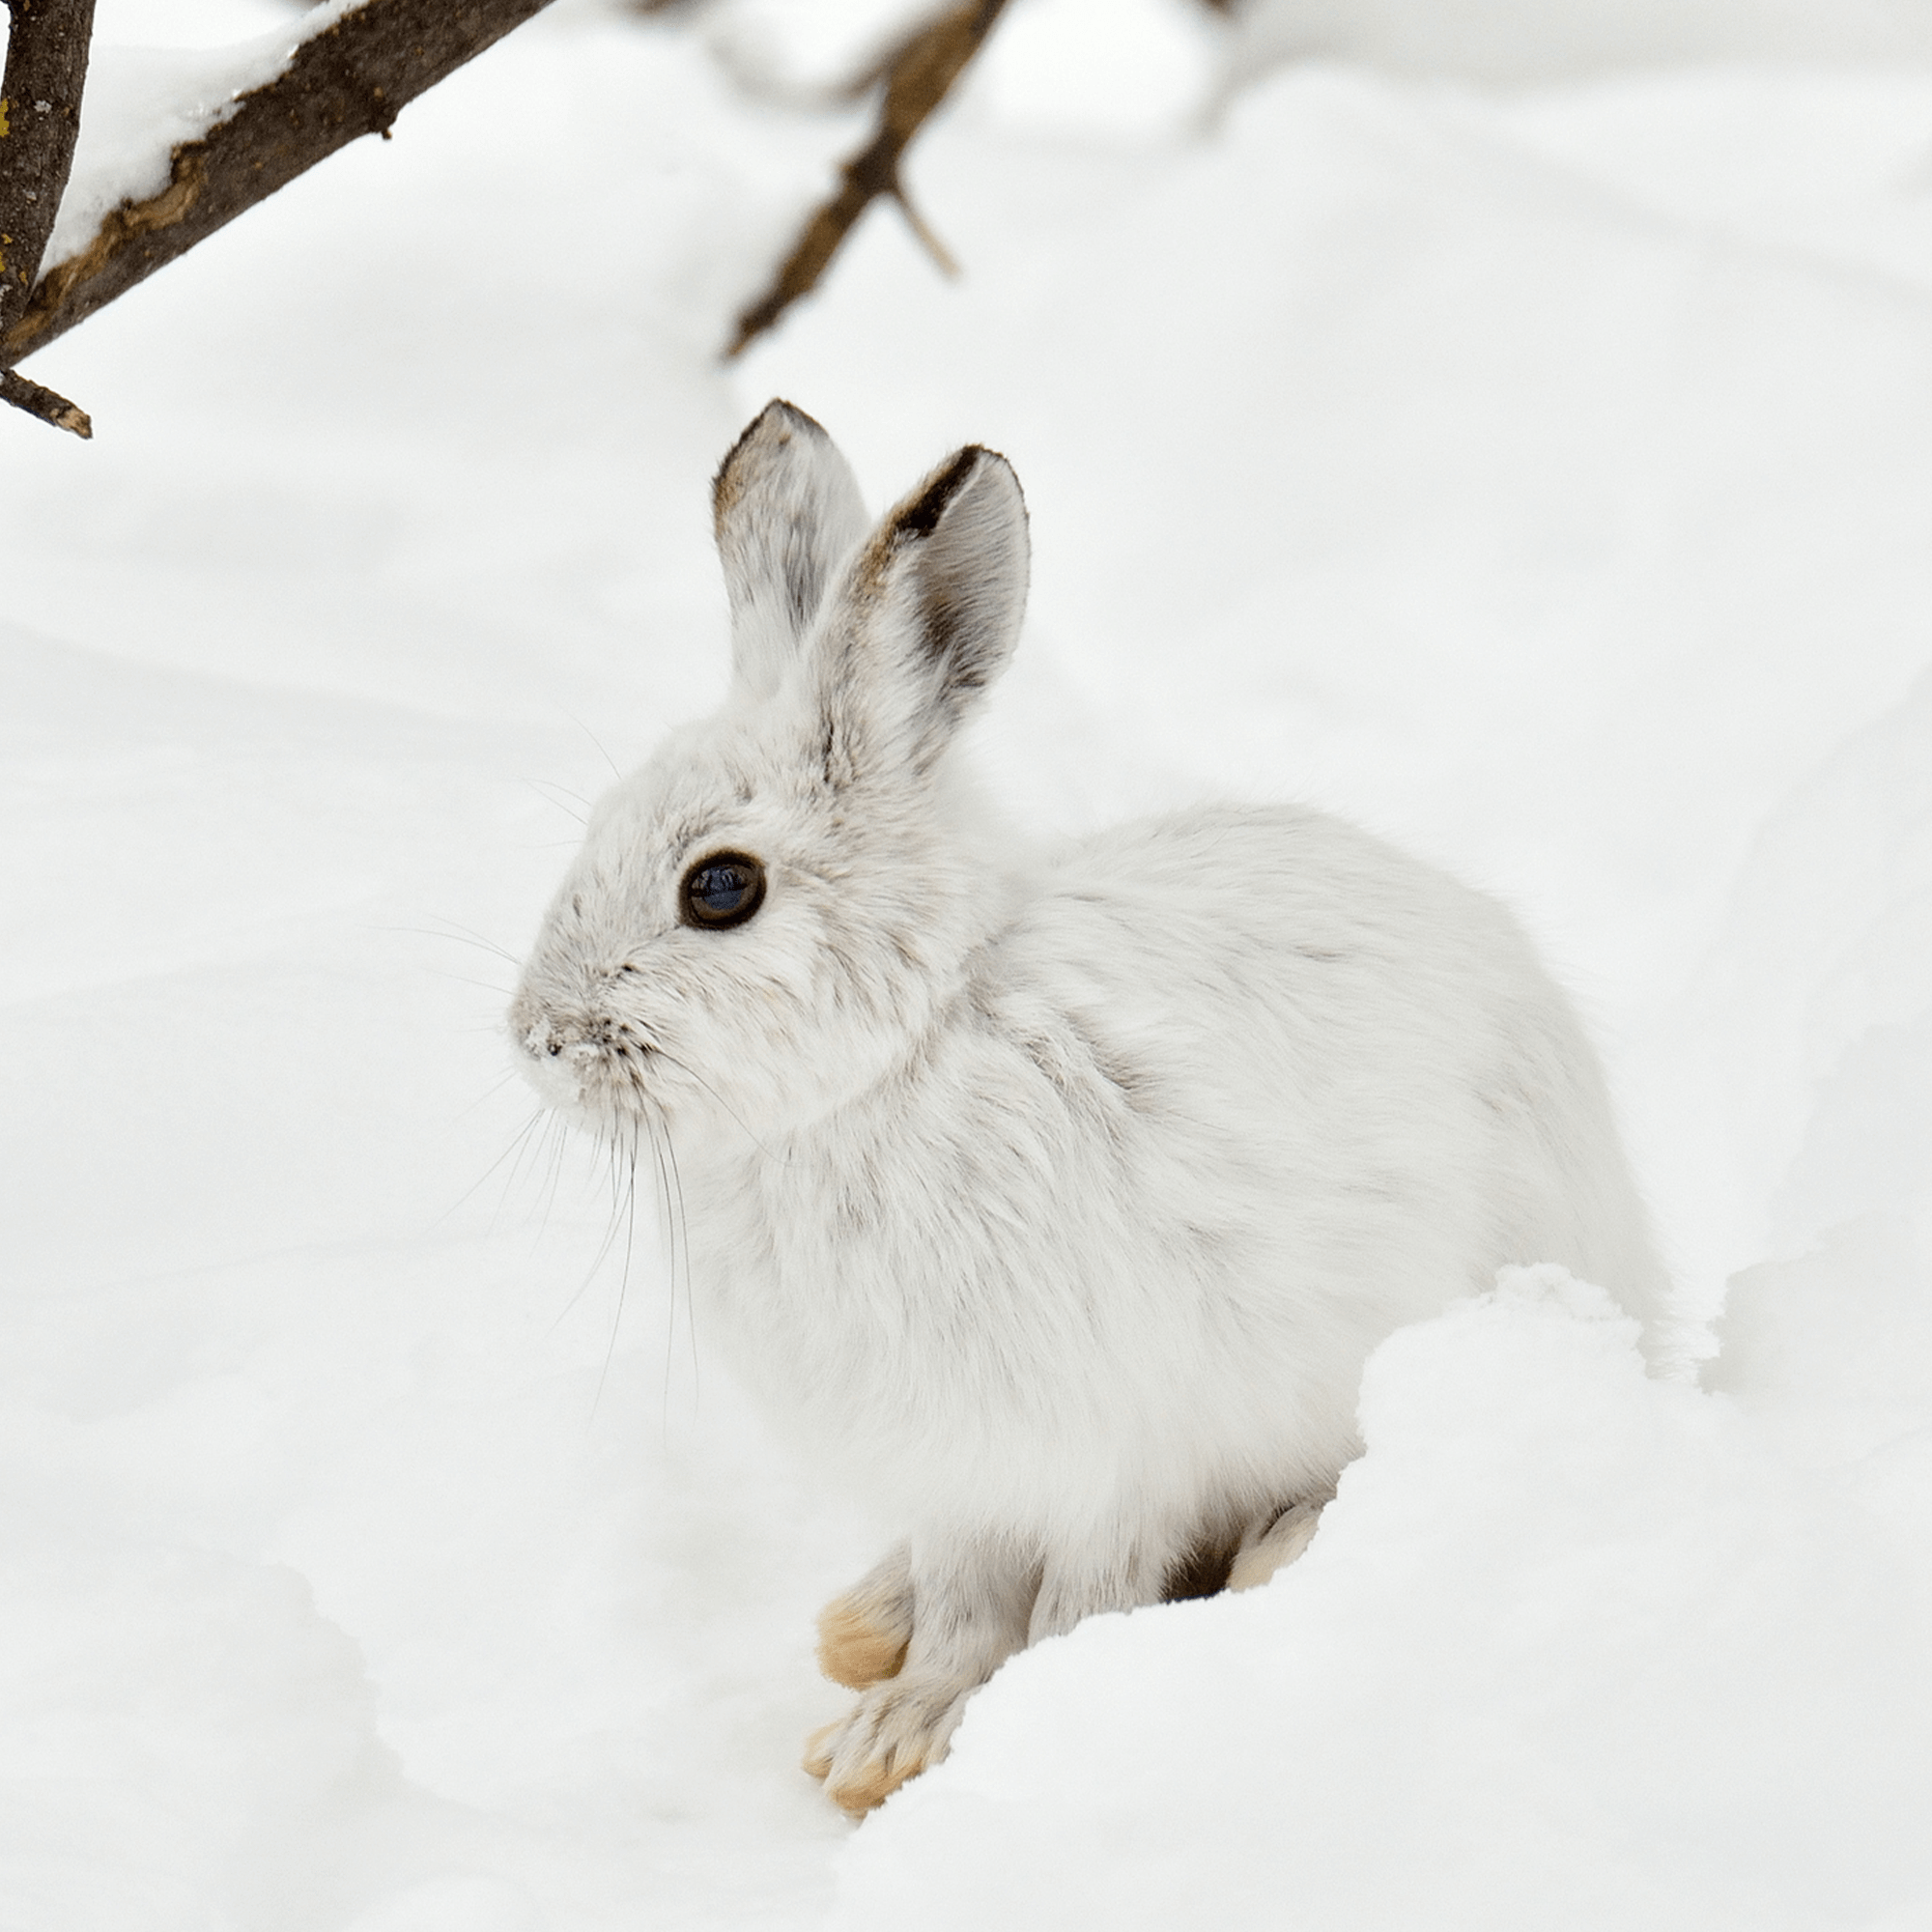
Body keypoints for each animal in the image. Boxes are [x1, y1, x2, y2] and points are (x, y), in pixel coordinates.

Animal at [508, 399, 1672, 1816]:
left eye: (720, 888)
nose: (537, 1036)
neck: (902, 1057)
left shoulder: (1116, 1450)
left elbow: (1085, 1598)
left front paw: (968, 1734)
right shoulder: (964, 1479)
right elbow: (965, 1602)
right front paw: (882, 1736)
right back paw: (863, 1622)